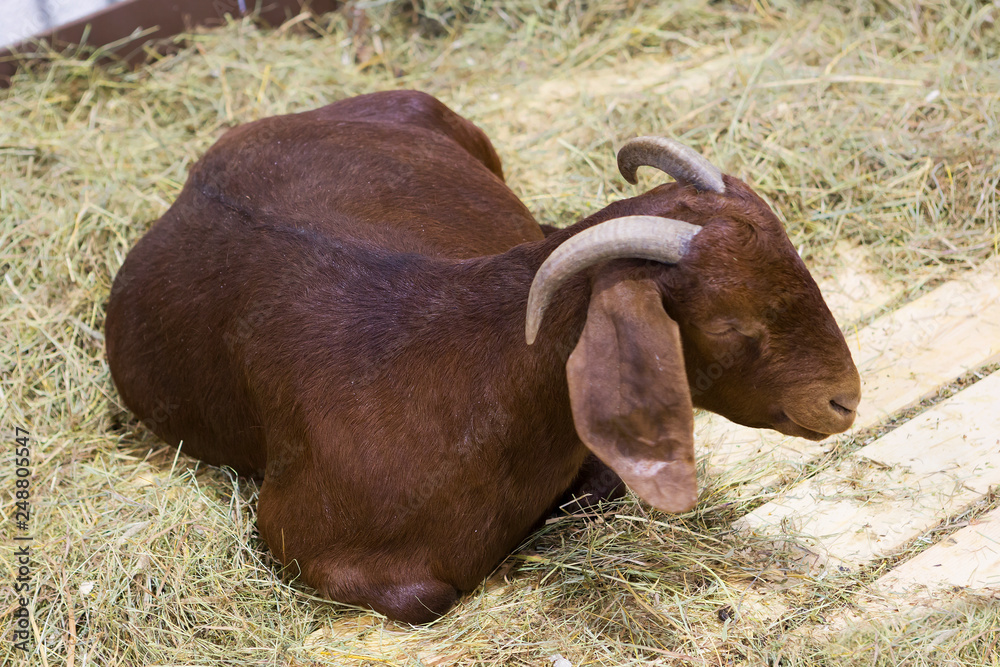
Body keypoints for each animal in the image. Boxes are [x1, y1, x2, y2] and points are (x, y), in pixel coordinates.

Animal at [105, 90, 861, 624]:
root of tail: (201, 172)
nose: (843, 399)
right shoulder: (299, 537)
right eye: (730, 322)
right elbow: (426, 594)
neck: (474, 376)